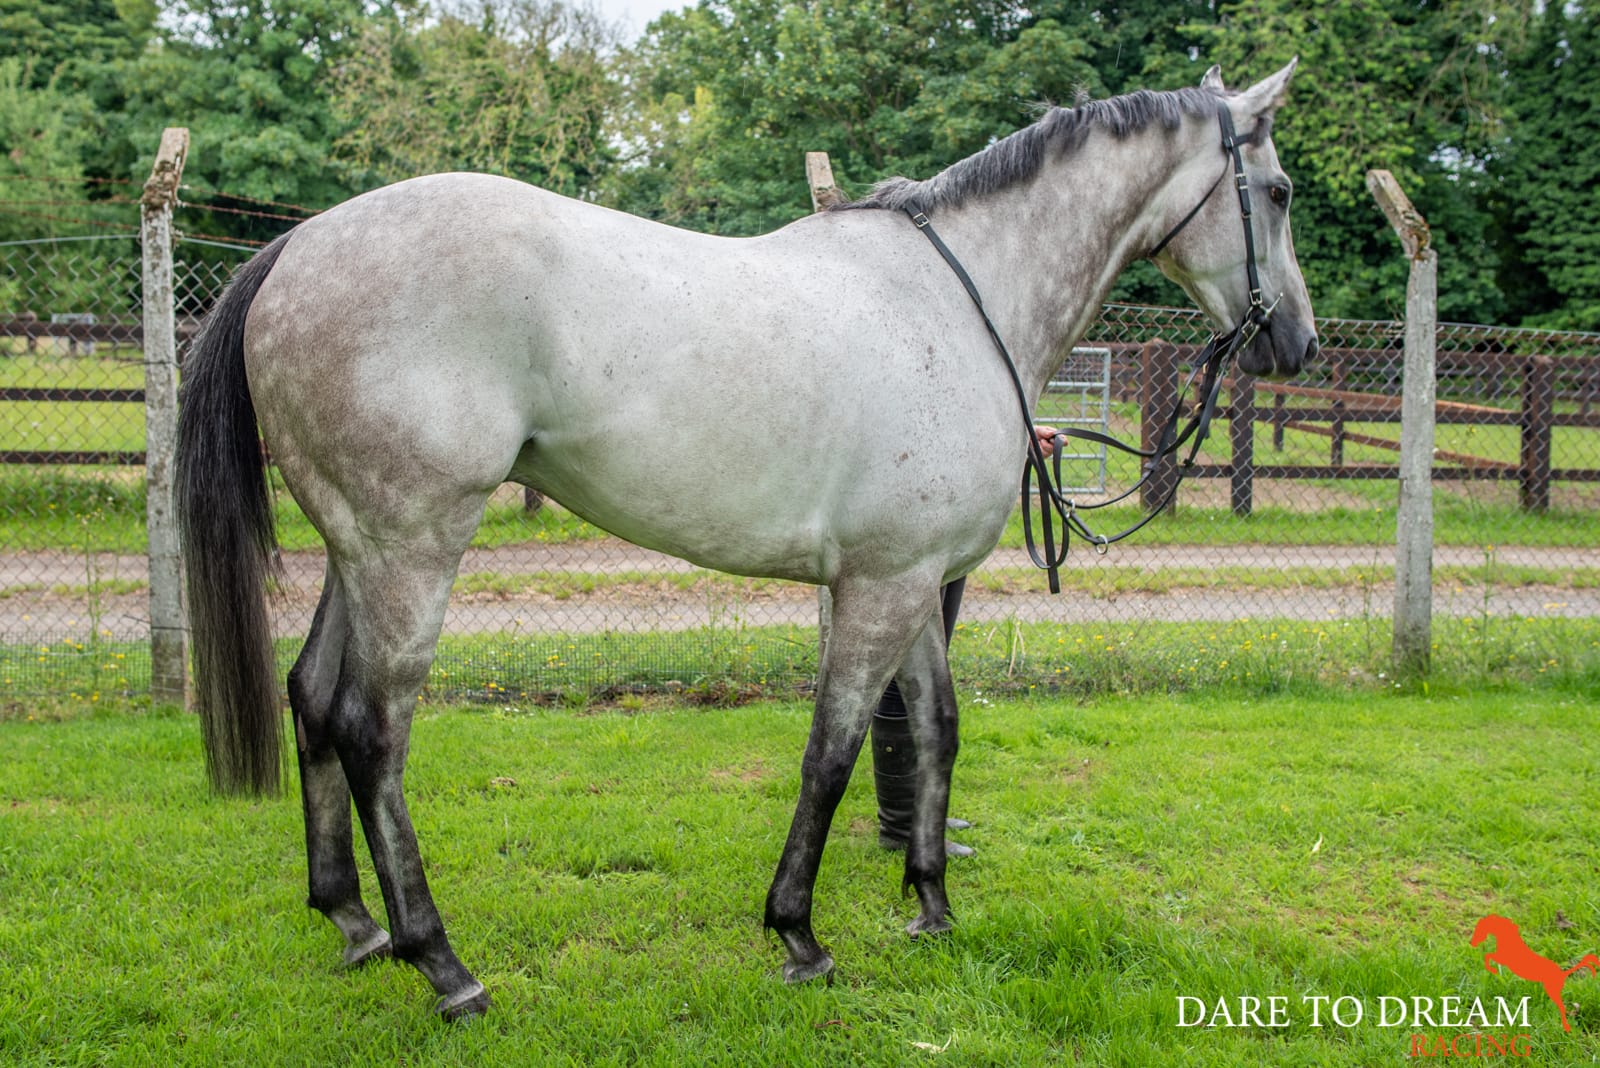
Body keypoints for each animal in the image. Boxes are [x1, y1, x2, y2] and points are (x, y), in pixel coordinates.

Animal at [175, 60, 1316, 1019]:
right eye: (1279, 190)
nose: (1297, 342)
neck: (960, 301)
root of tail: (300, 246)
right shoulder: (880, 589)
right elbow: (834, 750)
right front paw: (799, 934)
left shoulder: (915, 582)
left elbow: (935, 729)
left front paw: (932, 904)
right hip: (412, 552)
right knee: (371, 731)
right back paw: (443, 965)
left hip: (358, 551)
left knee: (313, 700)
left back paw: (354, 921)